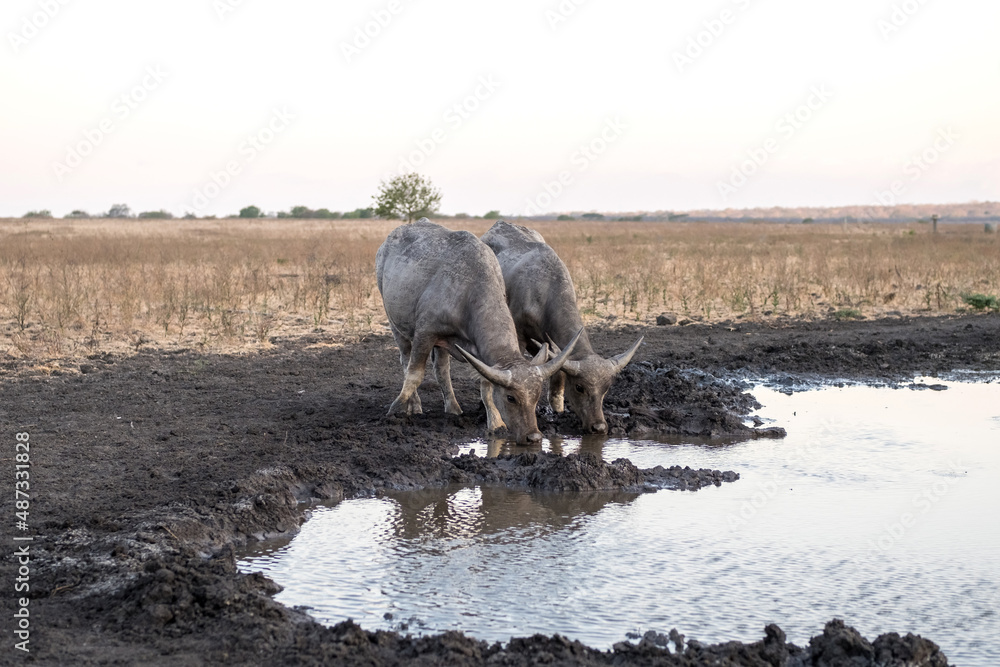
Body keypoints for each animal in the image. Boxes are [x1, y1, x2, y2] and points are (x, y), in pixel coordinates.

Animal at [375, 219, 582, 445]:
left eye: (536, 396)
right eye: (511, 398)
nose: (533, 436)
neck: (467, 291)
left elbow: (486, 387)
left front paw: (496, 423)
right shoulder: (425, 333)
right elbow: (414, 374)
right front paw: (396, 409)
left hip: (440, 345)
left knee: (441, 369)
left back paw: (453, 408)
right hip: (395, 324)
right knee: (405, 360)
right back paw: (414, 405)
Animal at [481, 220, 643, 434]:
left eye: (606, 388)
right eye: (580, 387)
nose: (599, 426)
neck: (543, 290)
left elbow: (557, 374)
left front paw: (557, 410)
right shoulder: (519, 334)